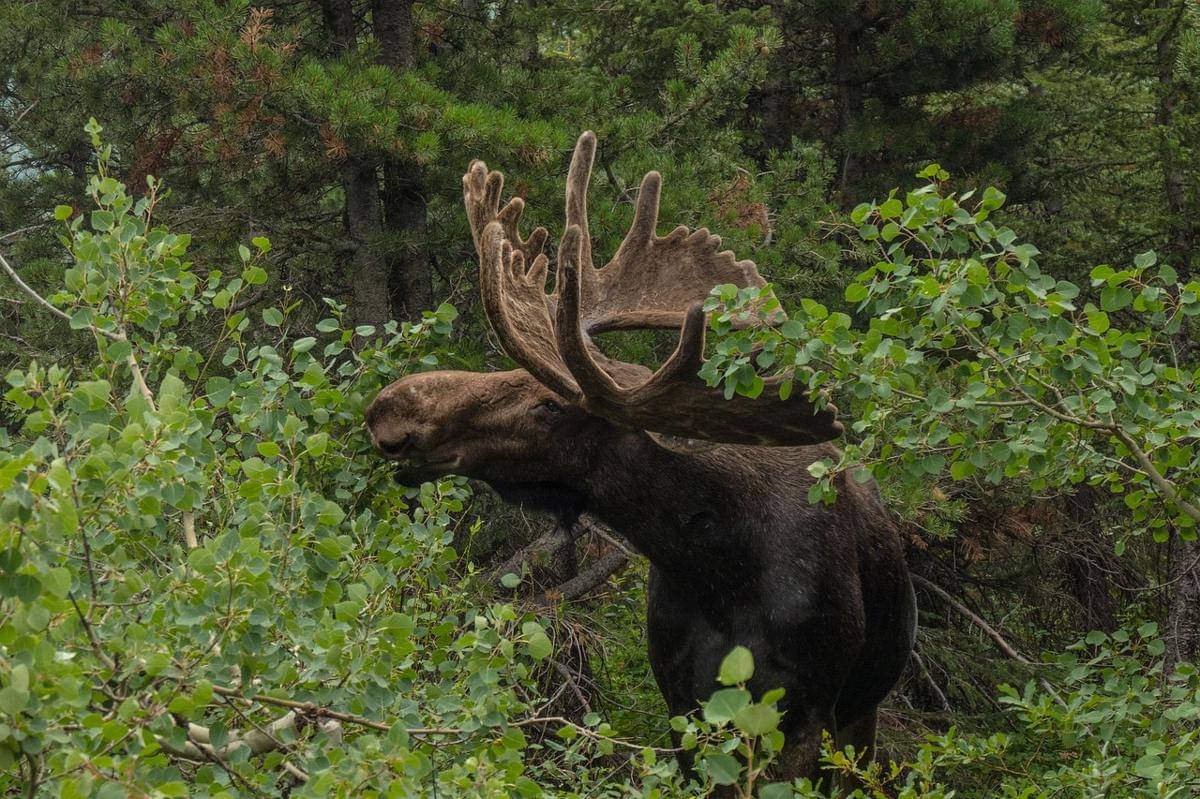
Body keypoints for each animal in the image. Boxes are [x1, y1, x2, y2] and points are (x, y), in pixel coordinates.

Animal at [365, 131, 916, 787]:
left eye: (548, 405)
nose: (388, 407)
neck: (715, 564)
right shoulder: (683, 704)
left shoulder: (803, 714)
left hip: (862, 711)